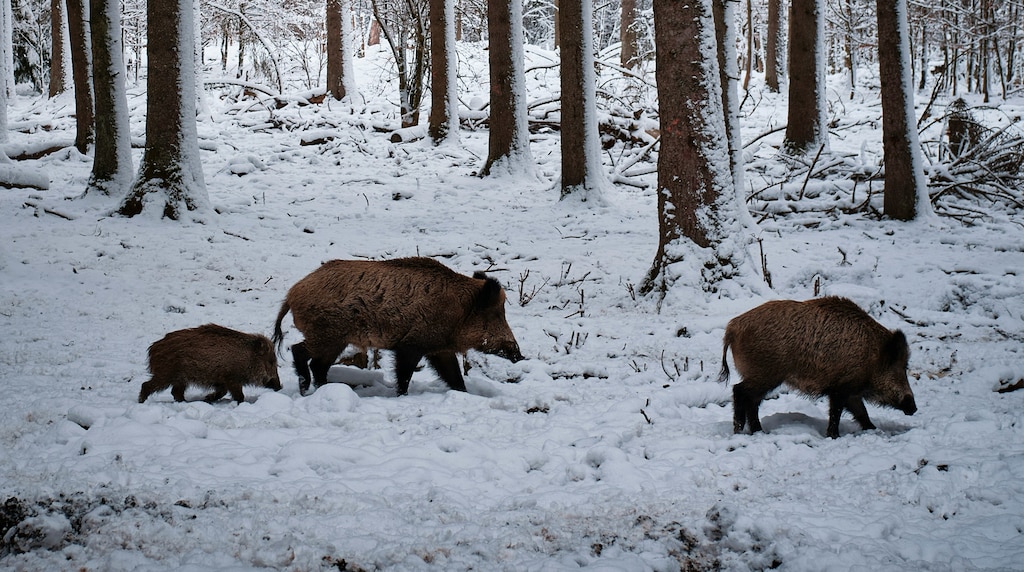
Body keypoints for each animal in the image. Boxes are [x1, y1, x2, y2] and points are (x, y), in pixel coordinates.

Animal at [138, 324, 283, 404]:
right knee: (146, 385)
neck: (247, 358)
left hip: (180, 379)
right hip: (166, 374)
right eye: (271, 361)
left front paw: (207, 399)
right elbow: (238, 395)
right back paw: (141, 401)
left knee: (176, 392)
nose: (279, 386)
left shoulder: (221, 381)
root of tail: (153, 348)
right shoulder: (231, 378)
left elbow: (223, 392)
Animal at [273, 257, 524, 396]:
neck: (459, 310)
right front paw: (401, 396)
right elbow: (404, 375)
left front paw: (464, 394)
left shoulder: (439, 349)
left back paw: (323, 389)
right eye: (496, 314)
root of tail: (292, 295)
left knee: (318, 365)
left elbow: (454, 375)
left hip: (335, 341)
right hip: (326, 335)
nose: (519, 356)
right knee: (299, 351)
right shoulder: (410, 345)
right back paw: (305, 388)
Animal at [718, 297, 916, 438]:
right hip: (765, 373)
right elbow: (836, 412)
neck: (873, 357)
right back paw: (742, 431)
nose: (914, 408)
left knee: (752, 400)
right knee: (740, 391)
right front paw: (834, 436)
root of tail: (732, 328)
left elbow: (861, 412)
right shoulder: (840, 388)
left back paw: (758, 431)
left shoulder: (851, 391)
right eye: (901, 366)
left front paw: (873, 429)